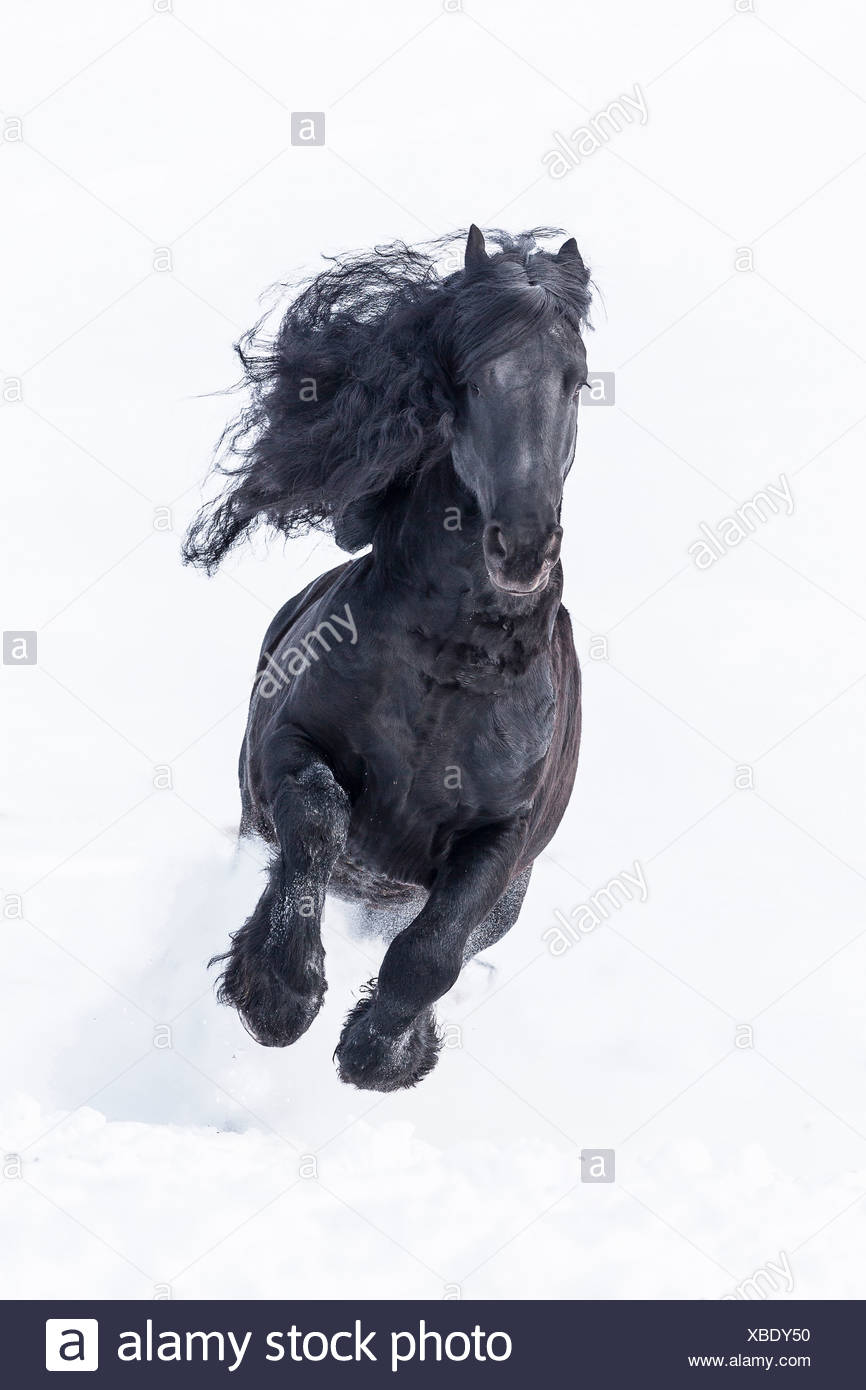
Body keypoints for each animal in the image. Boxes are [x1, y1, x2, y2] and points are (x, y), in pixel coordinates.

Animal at [183, 225, 592, 1091]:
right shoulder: (289, 749)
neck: (451, 665)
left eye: (577, 380)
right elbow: (315, 828)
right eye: (465, 378)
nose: (523, 546)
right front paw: (276, 994)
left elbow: (433, 951)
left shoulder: (501, 838)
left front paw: (382, 1052)